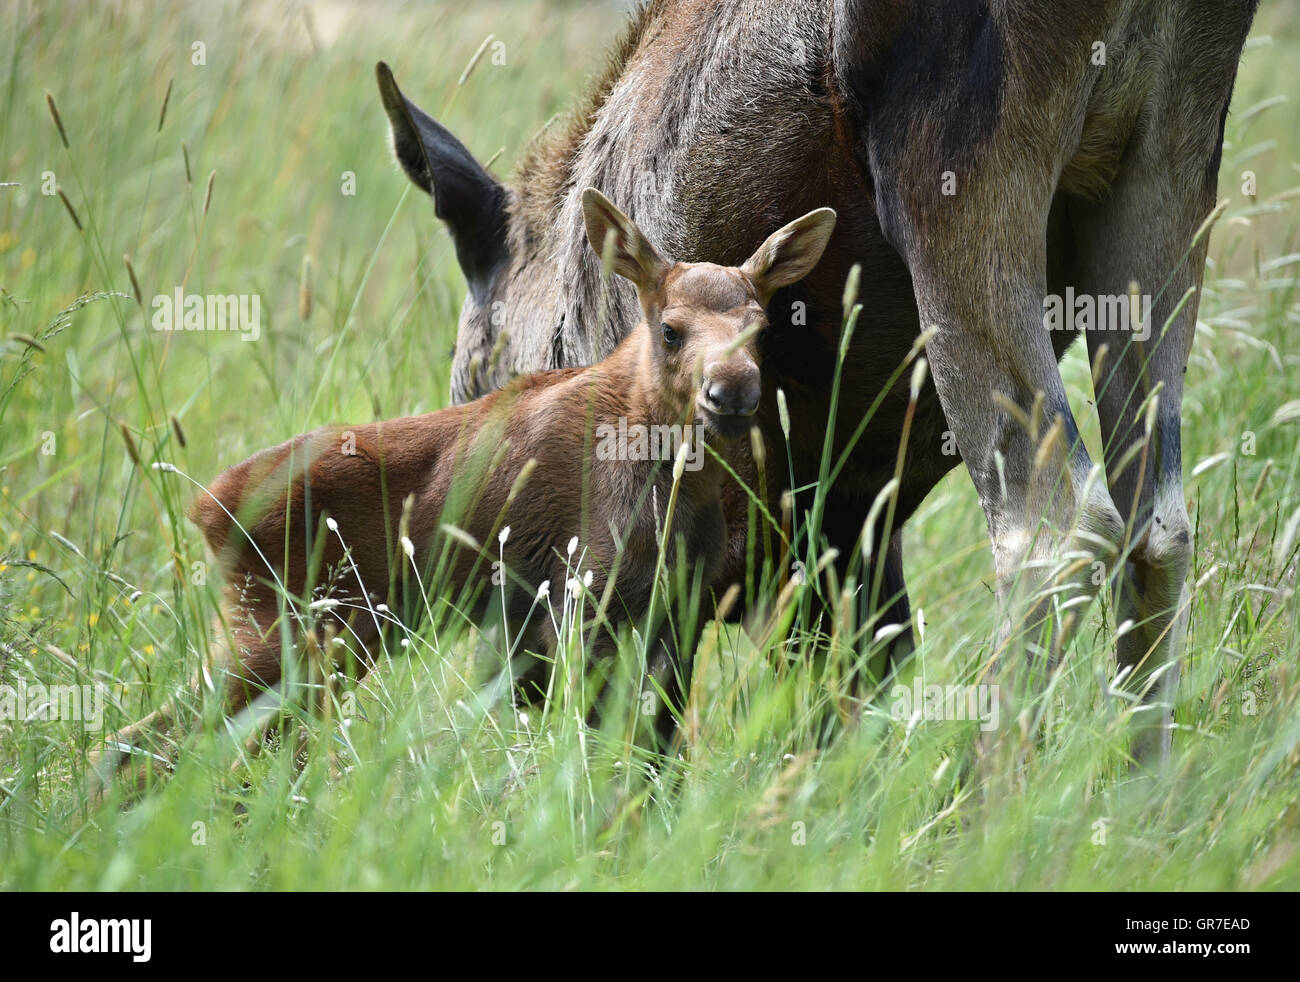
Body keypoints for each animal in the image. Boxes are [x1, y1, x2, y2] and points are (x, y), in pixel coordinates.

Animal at [89, 189, 836, 783]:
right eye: (671, 329)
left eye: (759, 329)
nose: (731, 392)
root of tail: (205, 508)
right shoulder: (584, 594)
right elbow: (593, 741)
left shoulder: (679, 605)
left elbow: (656, 745)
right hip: (291, 632)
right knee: (155, 741)